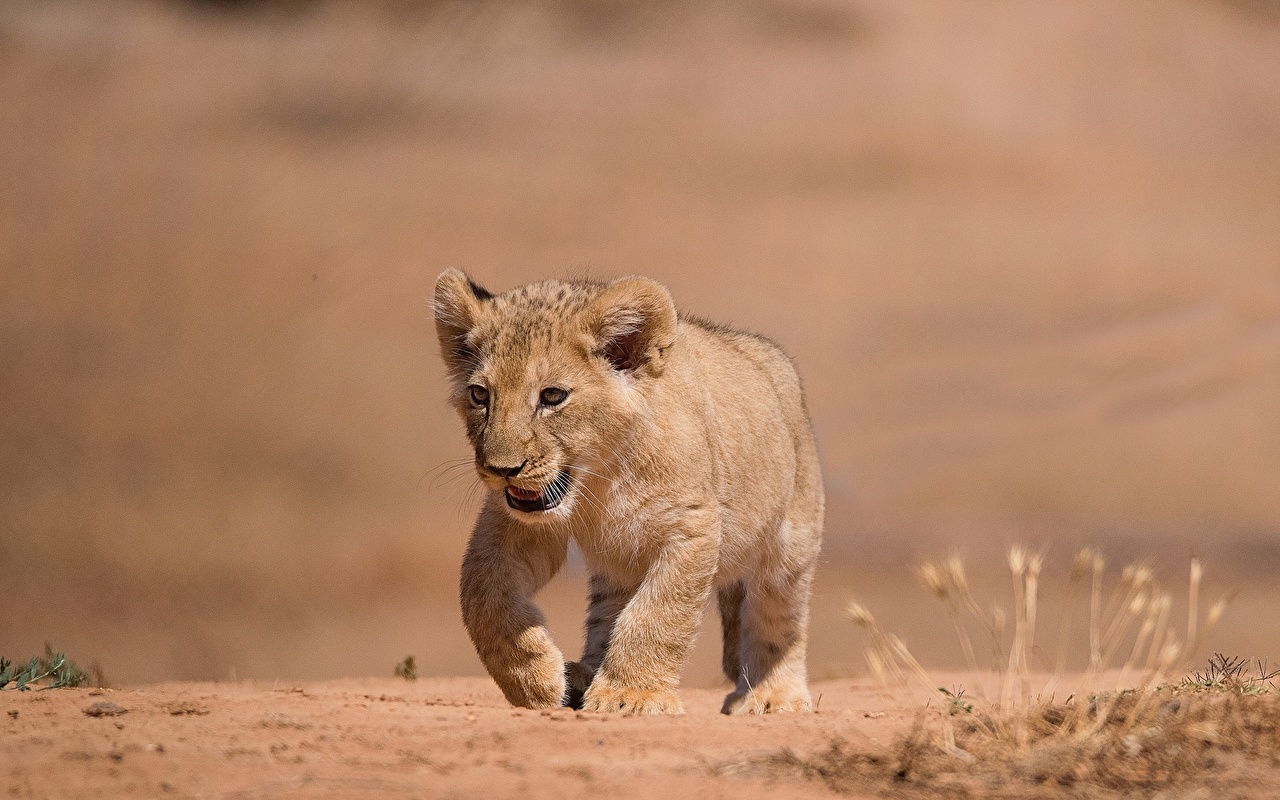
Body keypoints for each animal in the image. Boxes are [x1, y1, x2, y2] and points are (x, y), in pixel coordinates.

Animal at [433, 268, 823, 715]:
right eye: (480, 394)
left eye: (552, 396)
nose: (502, 470)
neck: (600, 479)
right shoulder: (516, 522)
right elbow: (482, 594)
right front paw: (534, 680)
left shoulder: (691, 526)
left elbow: (658, 614)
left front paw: (630, 695)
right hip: (618, 564)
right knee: (607, 613)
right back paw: (581, 675)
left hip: (791, 544)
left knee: (779, 615)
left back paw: (774, 693)